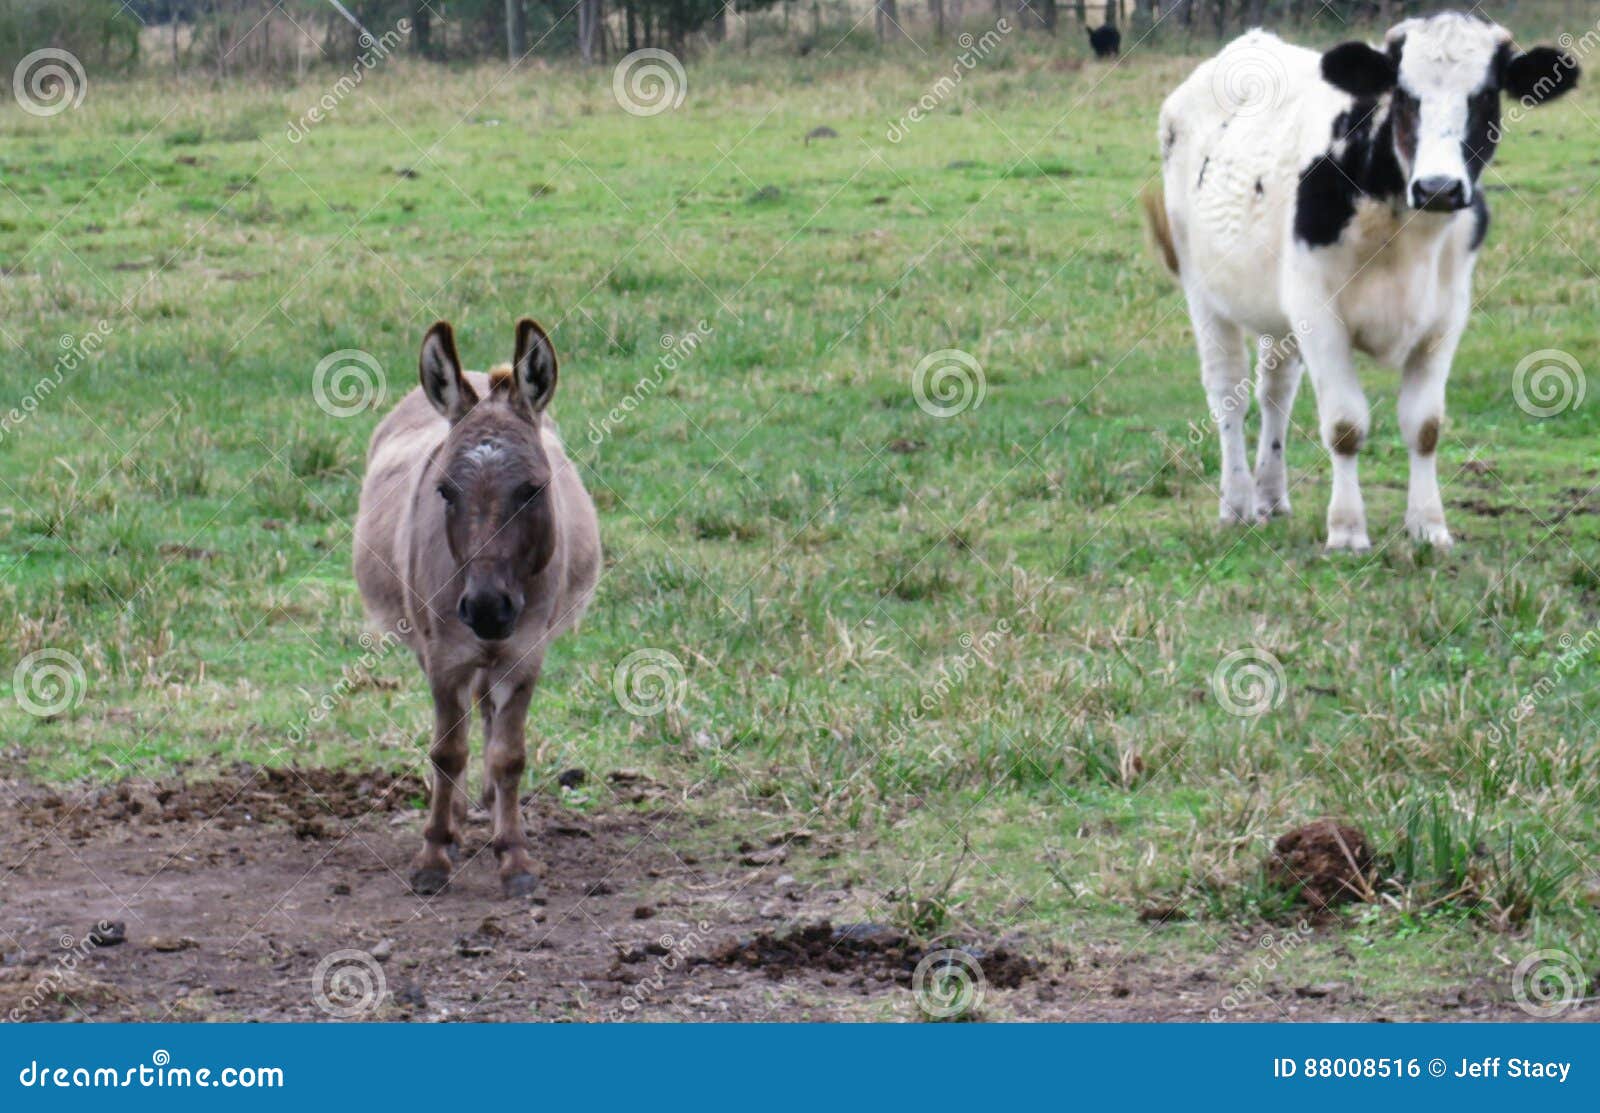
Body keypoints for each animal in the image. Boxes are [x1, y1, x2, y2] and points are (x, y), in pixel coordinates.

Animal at [1143, 13, 1577, 550]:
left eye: (1486, 95)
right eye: (1404, 96)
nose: (1438, 187)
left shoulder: (1445, 316)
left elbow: (1425, 426)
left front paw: (1428, 526)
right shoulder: (1318, 314)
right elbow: (1345, 426)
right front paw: (1347, 531)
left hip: (1276, 312)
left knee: (1275, 392)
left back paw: (1272, 496)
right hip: (1204, 290)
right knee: (1229, 392)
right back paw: (1238, 503)